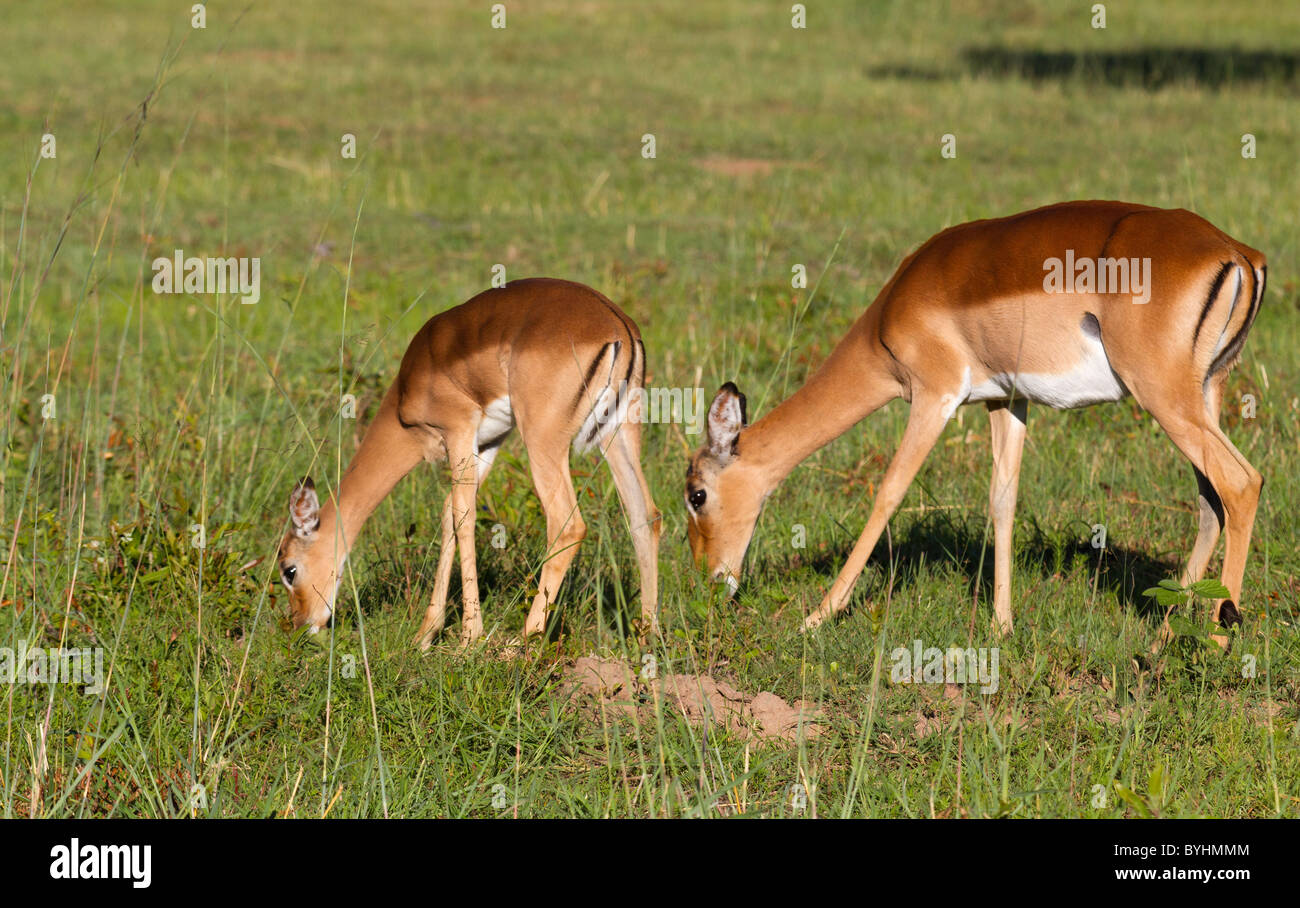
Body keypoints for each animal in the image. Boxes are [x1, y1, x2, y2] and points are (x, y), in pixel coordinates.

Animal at [277, 278, 661, 648]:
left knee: (567, 524)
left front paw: (468, 638)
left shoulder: (458, 430)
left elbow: (463, 517)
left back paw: (521, 642)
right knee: (645, 516)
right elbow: (449, 512)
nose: (300, 627)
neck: (406, 394)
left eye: (289, 570)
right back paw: (649, 636)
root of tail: (617, 325)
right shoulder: (488, 442)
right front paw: (425, 636)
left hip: (543, 441)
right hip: (618, 434)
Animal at [685, 201, 1265, 645]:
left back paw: (1217, 637)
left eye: (696, 494)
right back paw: (1165, 633)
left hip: (1165, 397)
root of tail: (1238, 253)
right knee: (1211, 501)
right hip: (1204, 394)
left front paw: (814, 618)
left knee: (1241, 483)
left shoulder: (933, 395)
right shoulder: (1007, 401)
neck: (890, 316)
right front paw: (1002, 627)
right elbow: (1002, 501)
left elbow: (889, 492)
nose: (710, 582)